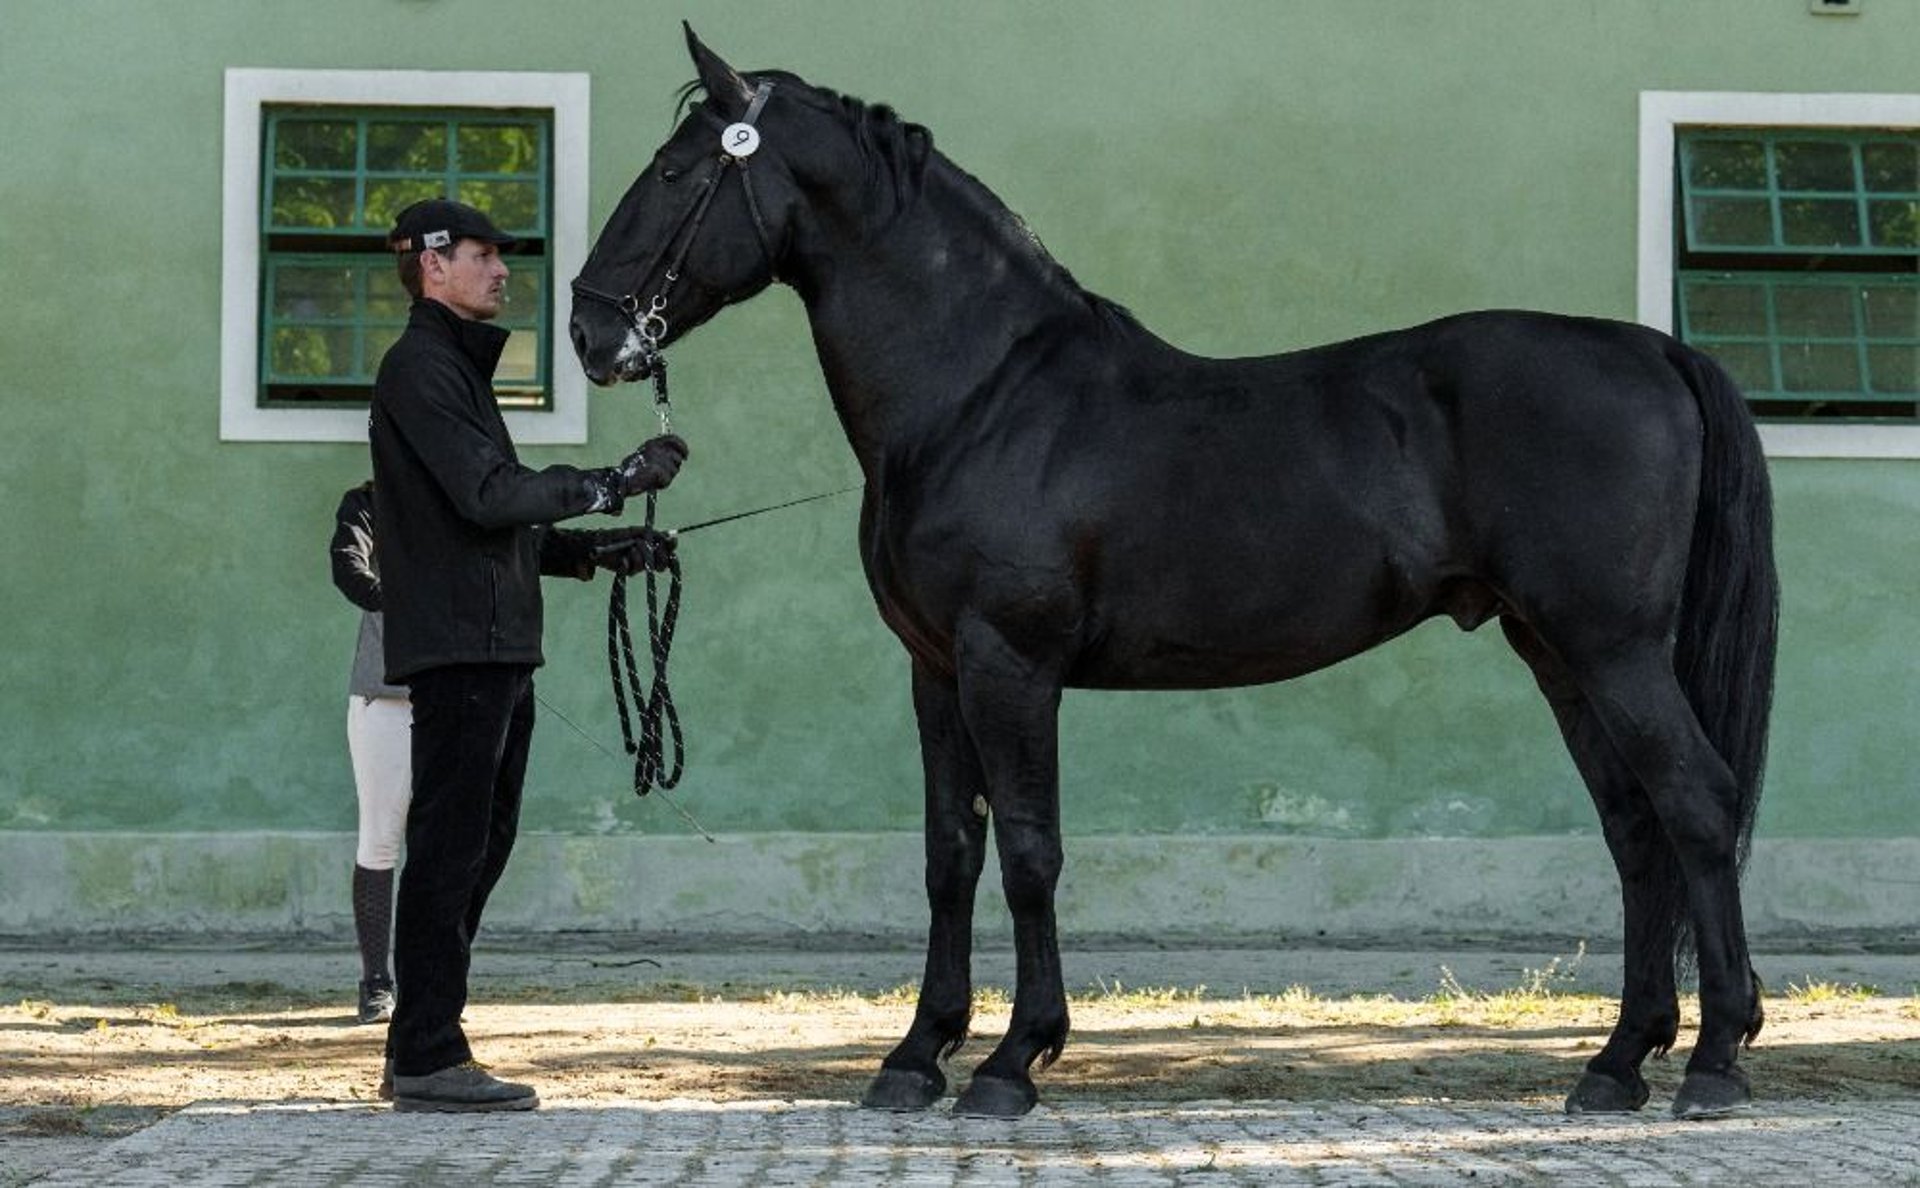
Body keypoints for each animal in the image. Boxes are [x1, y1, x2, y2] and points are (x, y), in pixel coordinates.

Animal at [570, 26, 1778, 1120]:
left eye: (673, 171)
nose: (589, 329)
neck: (983, 396)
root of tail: (1655, 350)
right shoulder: (935, 669)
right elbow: (950, 855)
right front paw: (914, 1059)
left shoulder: (1011, 664)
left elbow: (1030, 851)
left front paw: (1013, 1064)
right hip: (1558, 653)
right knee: (1635, 829)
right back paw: (1617, 1065)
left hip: (1611, 648)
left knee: (1697, 804)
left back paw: (1715, 1062)